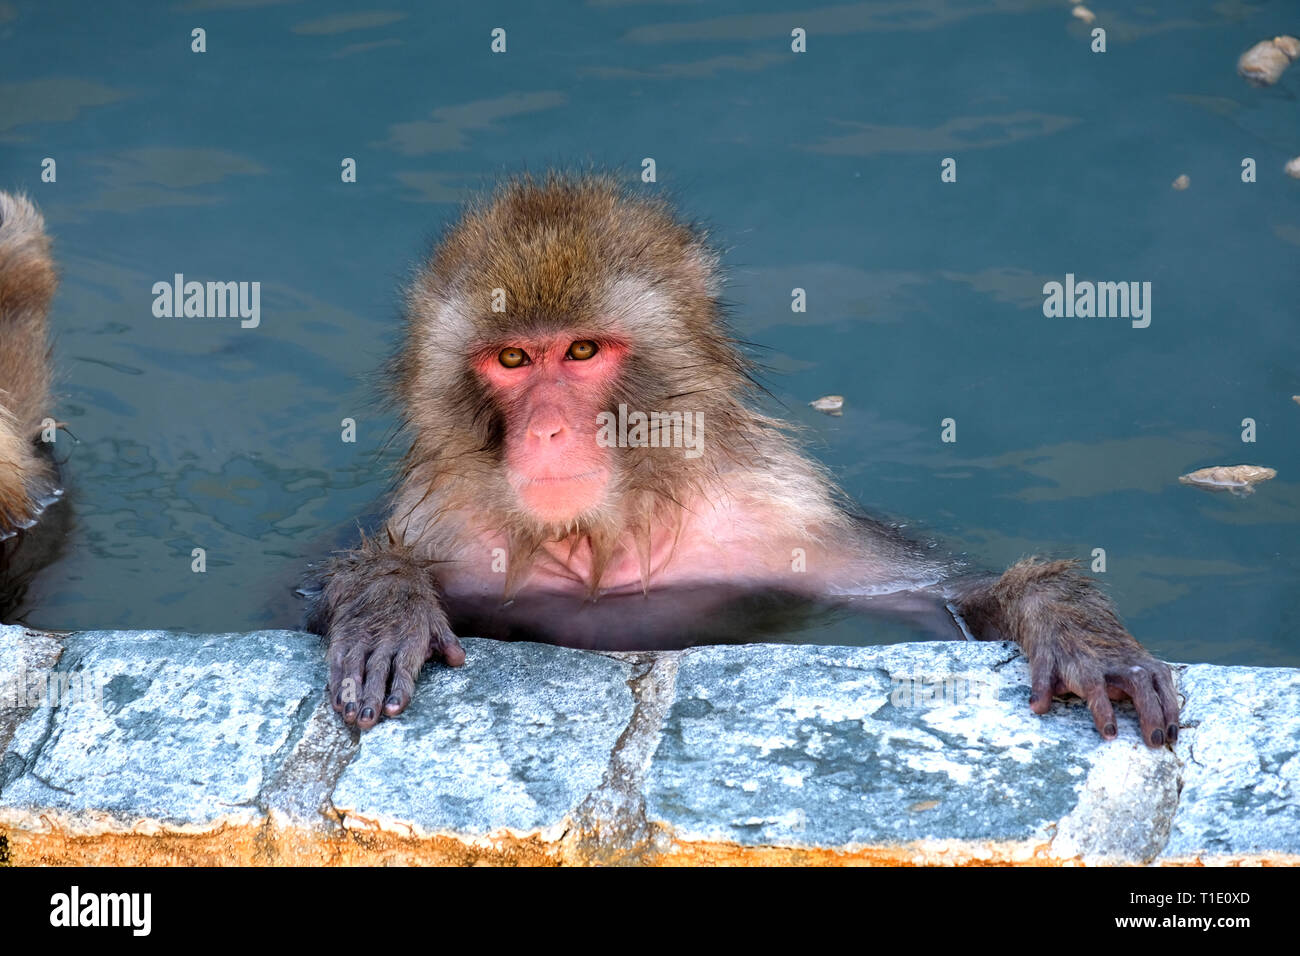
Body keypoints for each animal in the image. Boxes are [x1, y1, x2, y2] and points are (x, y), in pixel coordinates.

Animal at [306, 173, 1179, 750]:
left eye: (581, 351)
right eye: (513, 359)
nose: (549, 432)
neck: (605, 533)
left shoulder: (784, 518)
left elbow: (948, 599)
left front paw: (1071, 628)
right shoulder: (444, 525)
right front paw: (386, 601)